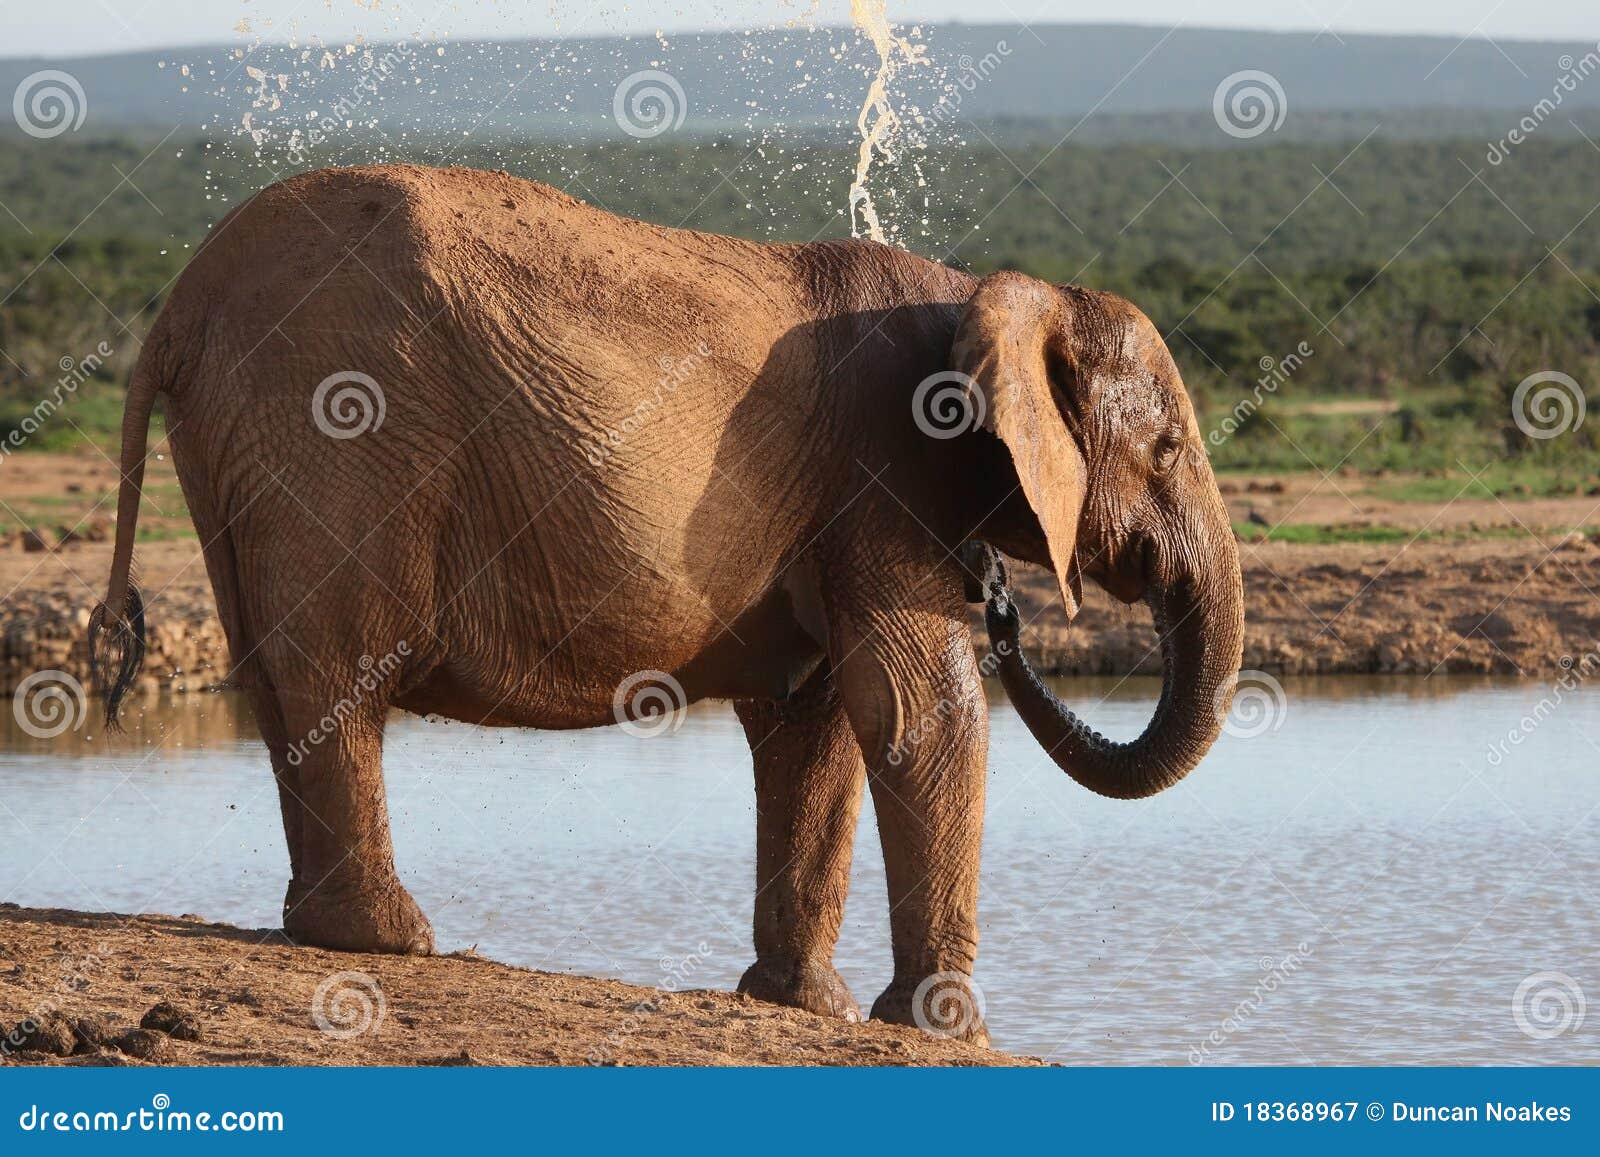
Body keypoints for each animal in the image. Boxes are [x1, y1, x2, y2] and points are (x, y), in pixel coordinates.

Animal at [90, 164, 1243, 1044]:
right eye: (1168, 450)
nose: (1000, 600)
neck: (982, 294)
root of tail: (180, 309)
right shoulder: (883, 474)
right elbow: (922, 711)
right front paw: (945, 1031)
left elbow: (813, 721)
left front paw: (803, 1005)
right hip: (337, 423)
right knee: (338, 671)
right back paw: (389, 939)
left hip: (245, 443)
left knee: (277, 678)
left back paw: (322, 929)